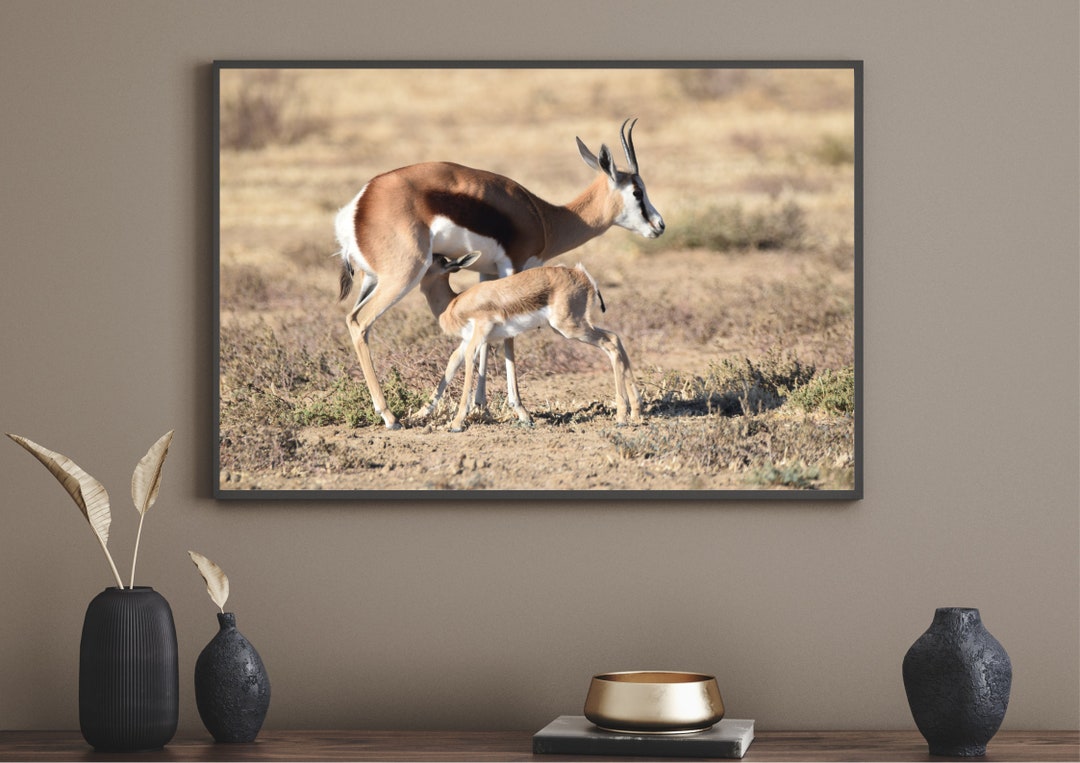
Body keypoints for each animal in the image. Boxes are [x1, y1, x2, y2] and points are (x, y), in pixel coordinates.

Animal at [417, 253, 643, 432]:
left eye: (432, 259)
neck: (453, 302)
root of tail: (580, 273)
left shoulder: (479, 334)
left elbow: (469, 364)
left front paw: (456, 423)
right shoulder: (467, 339)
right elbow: (452, 363)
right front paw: (419, 414)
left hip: (571, 327)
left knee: (611, 345)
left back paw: (621, 417)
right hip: (572, 326)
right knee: (616, 338)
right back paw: (636, 411)